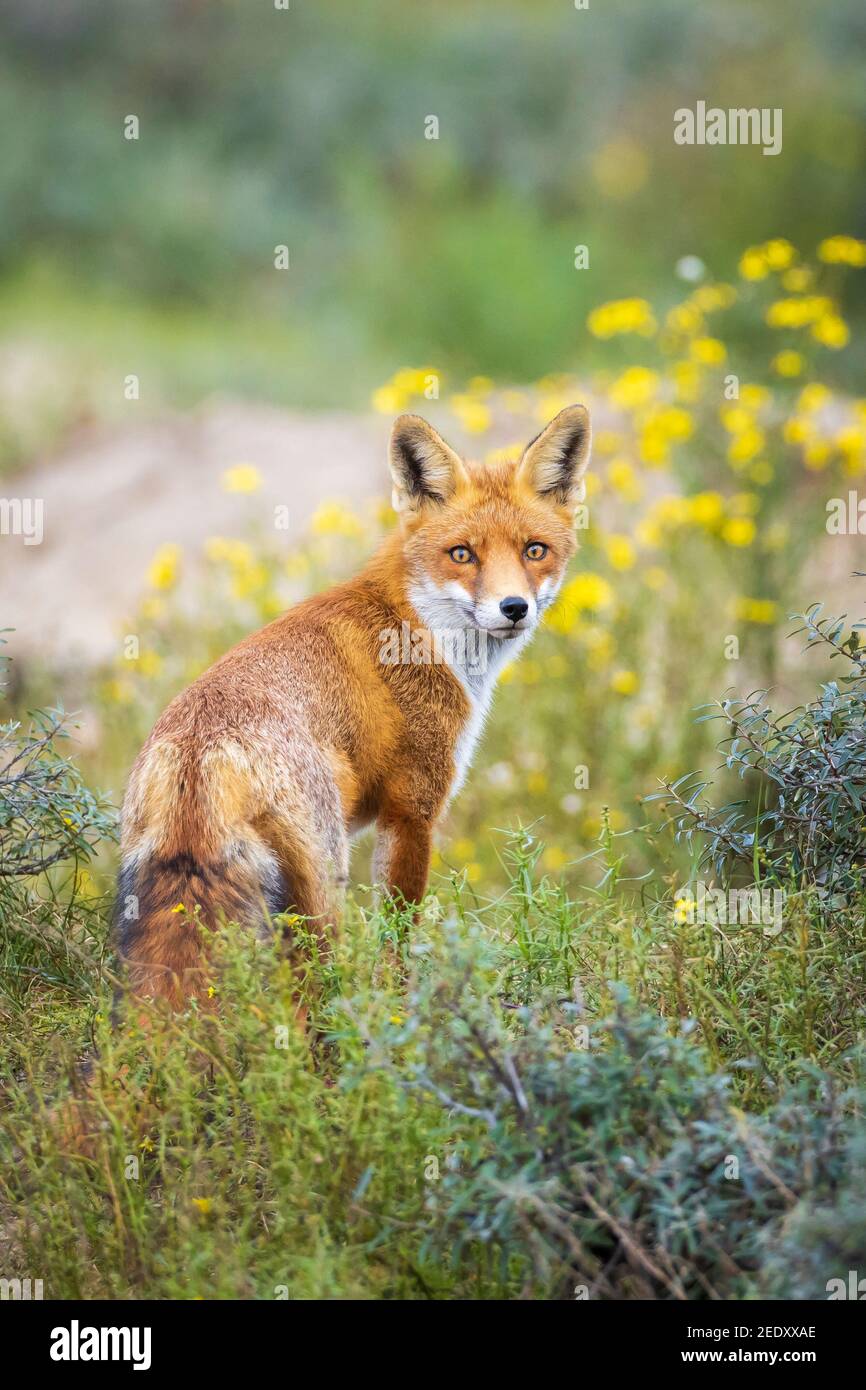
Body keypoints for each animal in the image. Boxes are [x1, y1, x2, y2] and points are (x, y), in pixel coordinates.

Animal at [115, 404, 591, 1007]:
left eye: (535, 550)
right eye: (462, 554)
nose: (514, 608)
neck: (419, 627)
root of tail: (205, 748)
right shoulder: (412, 810)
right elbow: (397, 937)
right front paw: (398, 1007)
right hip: (322, 888)